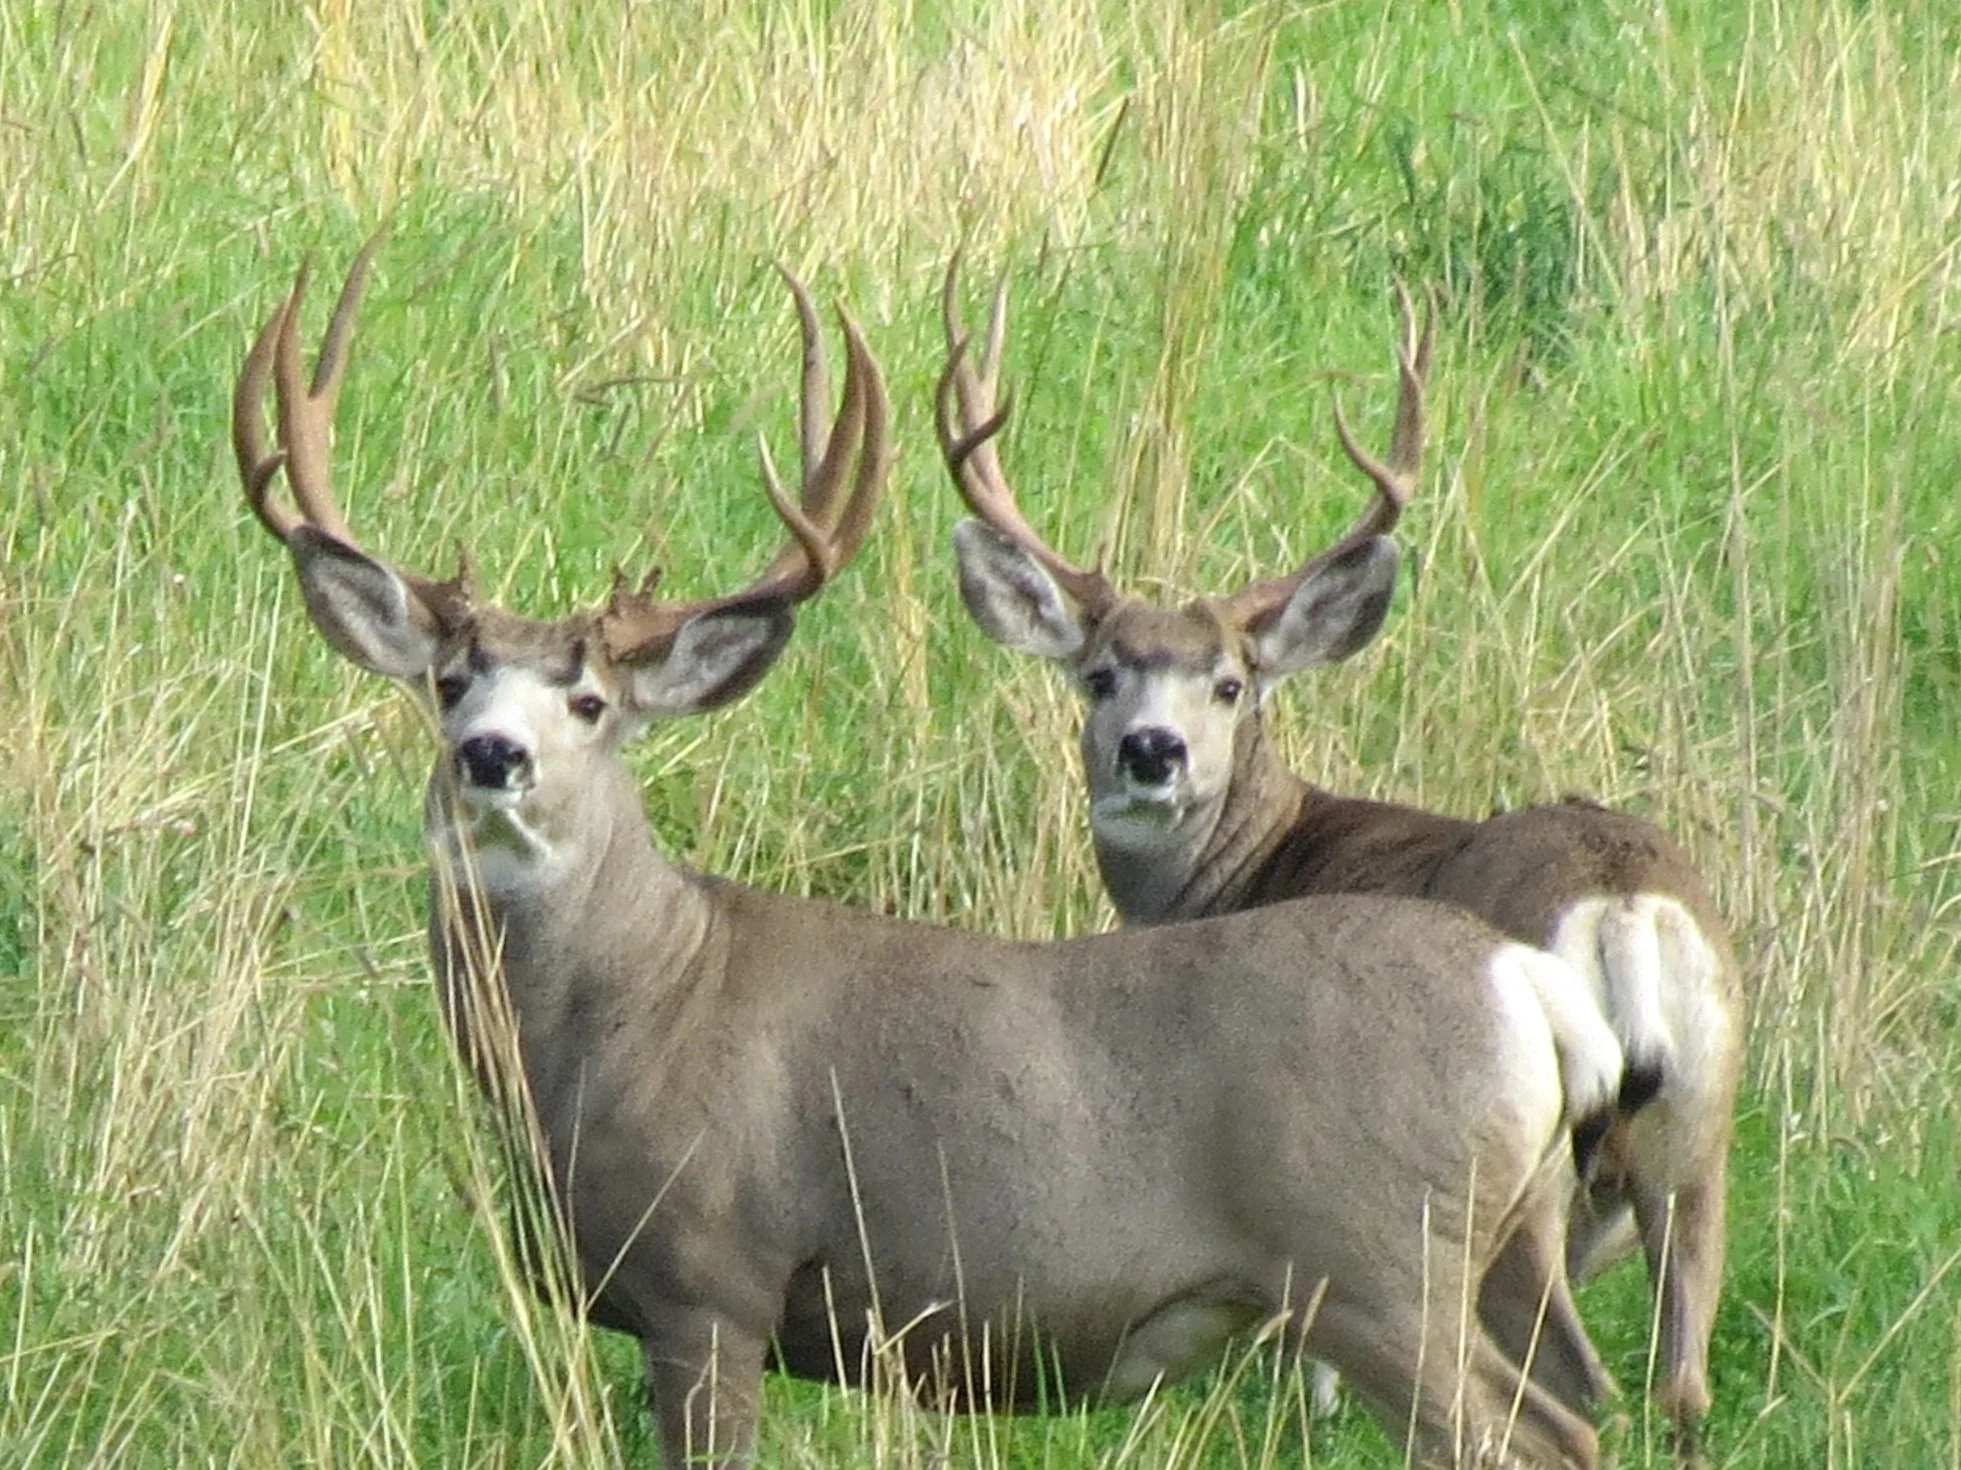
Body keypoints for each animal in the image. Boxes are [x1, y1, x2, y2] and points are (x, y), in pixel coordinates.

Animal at [235, 239, 1620, 1470]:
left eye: (587, 704)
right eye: (448, 682)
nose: (489, 756)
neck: (628, 1013)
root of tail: (1526, 987)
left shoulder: (710, 1278)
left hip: (1379, 1262)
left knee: (1533, 1438)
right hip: (1494, 1256)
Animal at [936, 260, 1744, 1457]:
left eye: (1229, 683)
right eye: (1098, 673)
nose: (1151, 751)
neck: (1255, 854)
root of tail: (1620, 903)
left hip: (1525, 1195)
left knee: (1571, 1380)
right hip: (1698, 1132)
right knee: (1679, 1380)